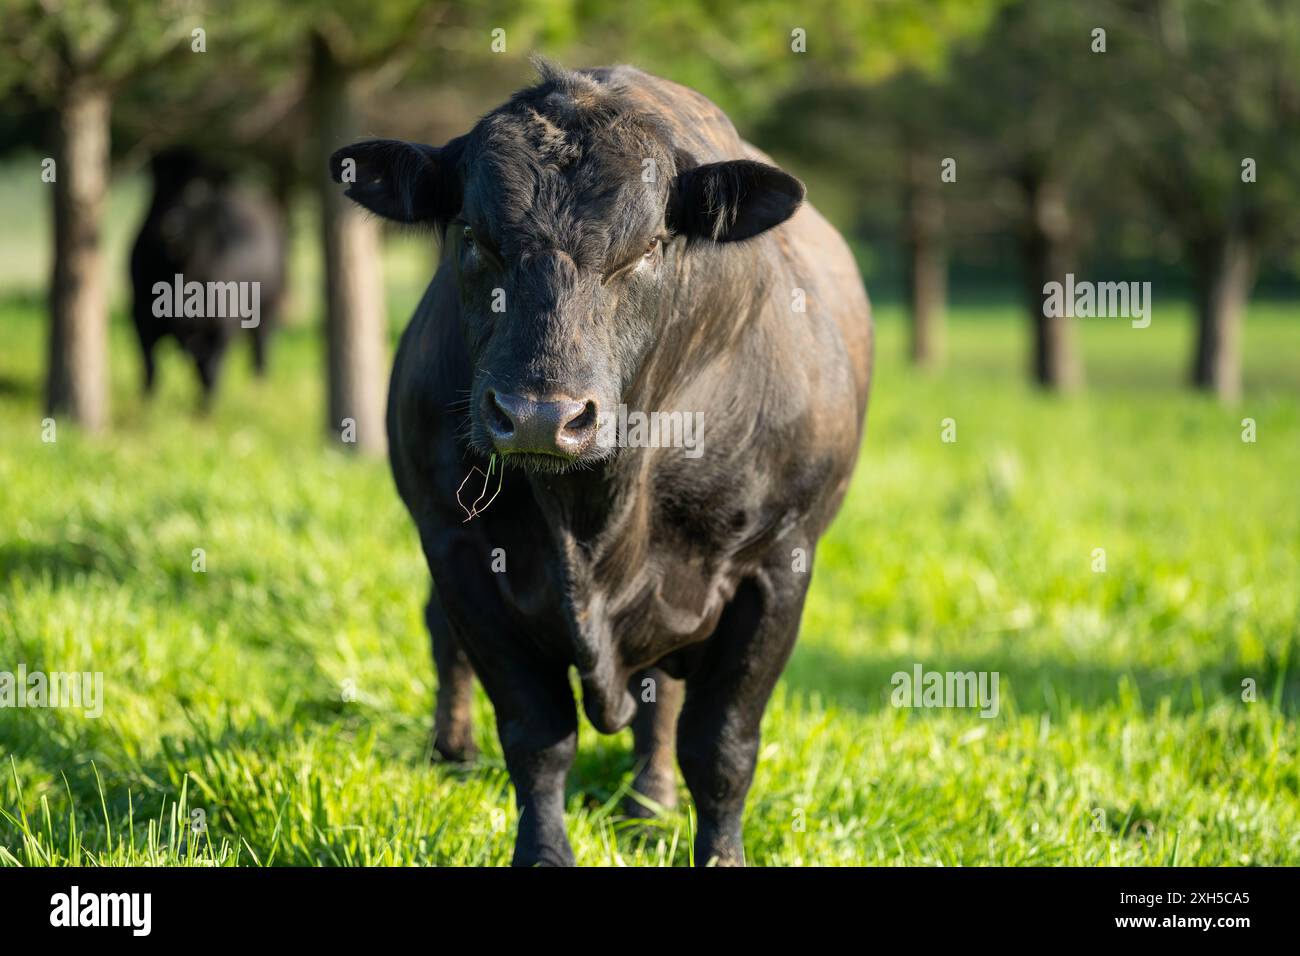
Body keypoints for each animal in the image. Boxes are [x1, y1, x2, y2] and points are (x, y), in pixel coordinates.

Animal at [130, 148, 285, 405]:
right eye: (160, 185)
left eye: (198, 191)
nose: (171, 227)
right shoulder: (142, 317)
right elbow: (149, 368)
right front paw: (147, 408)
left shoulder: (221, 326)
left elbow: (209, 373)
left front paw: (205, 411)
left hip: (268, 307)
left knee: (260, 346)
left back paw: (258, 388)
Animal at [330, 62, 873, 866]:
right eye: (474, 236)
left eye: (647, 248)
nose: (539, 415)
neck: (595, 518)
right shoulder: (458, 550)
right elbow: (537, 734)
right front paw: (544, 852)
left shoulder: (779, 563)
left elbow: (722, 747)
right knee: (443, 638)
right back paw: (451, 753)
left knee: (662, 701)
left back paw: (649, 805)